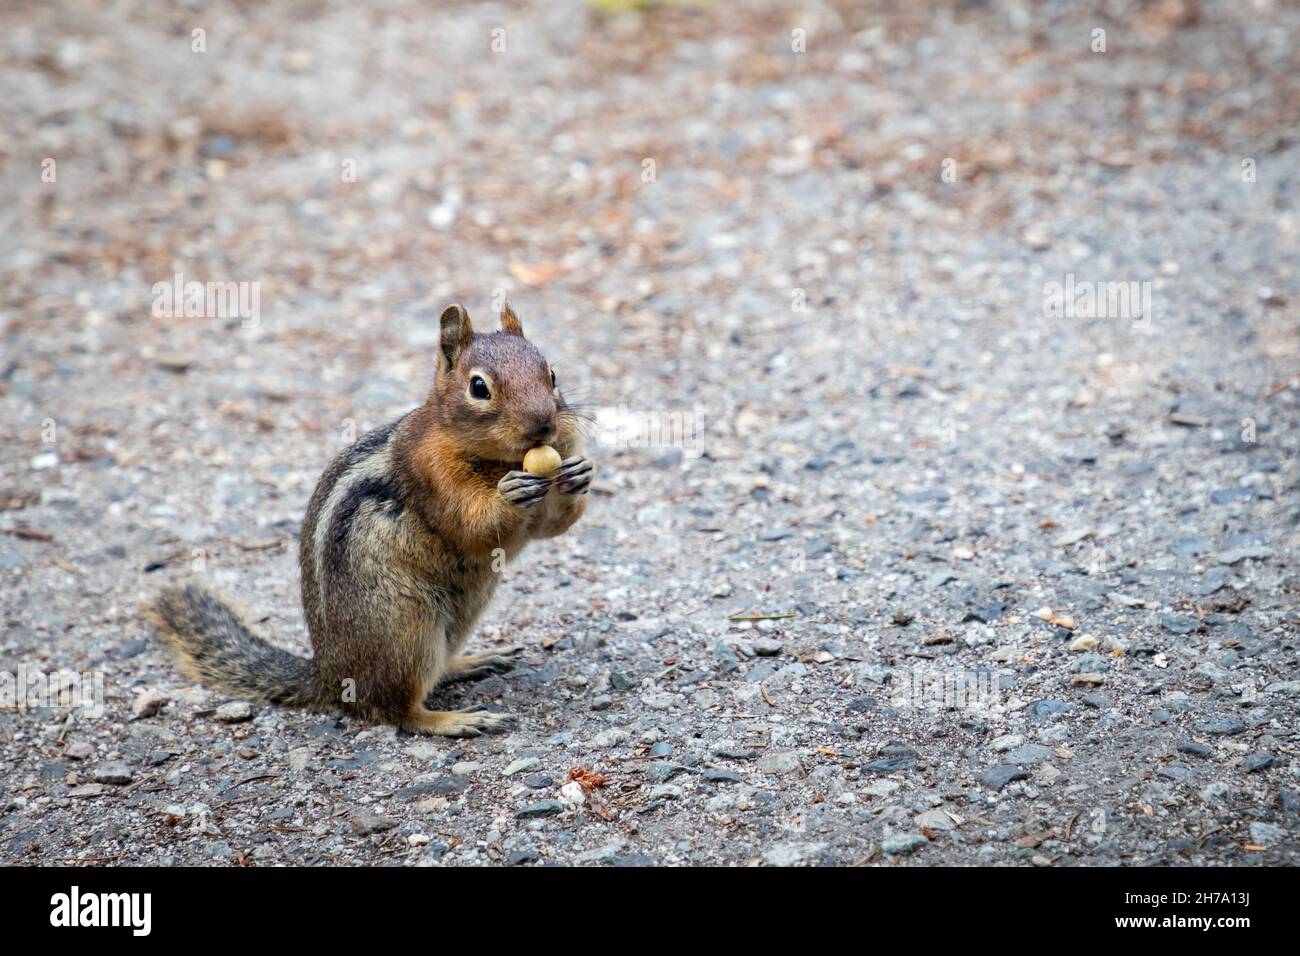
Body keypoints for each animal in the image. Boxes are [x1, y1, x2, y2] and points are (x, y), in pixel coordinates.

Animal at [144, 303, 593, 737]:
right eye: (479, 387)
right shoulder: (432, 475)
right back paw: (454, 720)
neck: (501, 460)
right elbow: (470, 525)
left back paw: (474, 661)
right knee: (396, 710)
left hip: (454, 619)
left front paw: (579, 475)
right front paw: (509, 494)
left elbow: (551, 526)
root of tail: (327, 678)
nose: (543, 425)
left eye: (551, 373)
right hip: (406, 628)